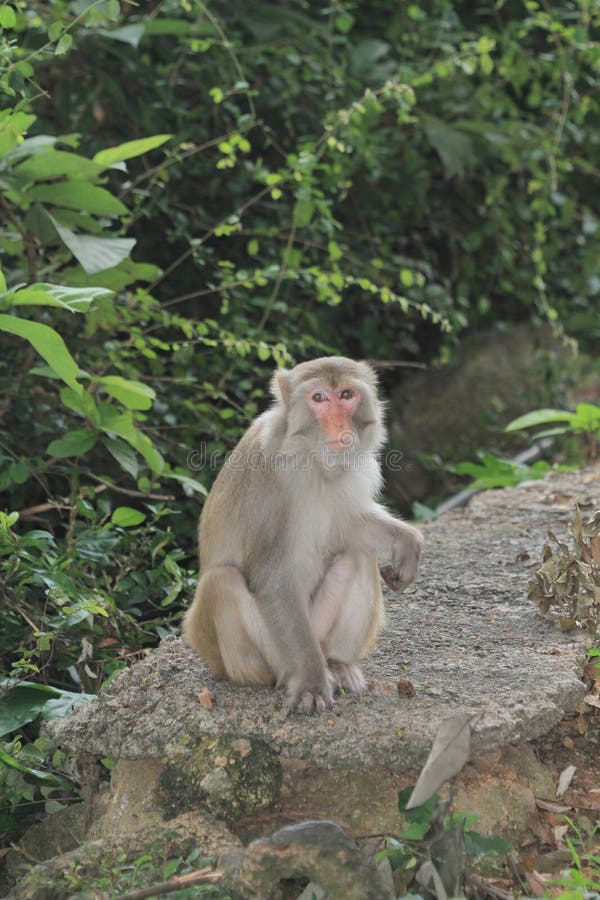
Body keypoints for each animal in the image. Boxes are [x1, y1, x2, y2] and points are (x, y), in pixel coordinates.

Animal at [183, 356, 424, 714]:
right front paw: (311, 684)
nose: (339, 425)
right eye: (319, 398)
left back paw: (338, 664)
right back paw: (281, 677)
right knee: (222, 580)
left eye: (347, 395)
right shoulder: (268, 477)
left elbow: (348, 525)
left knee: (357, 554)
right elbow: (273, 577)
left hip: (318, 626)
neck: (315, 461)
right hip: (268, 650)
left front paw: (407, 540)